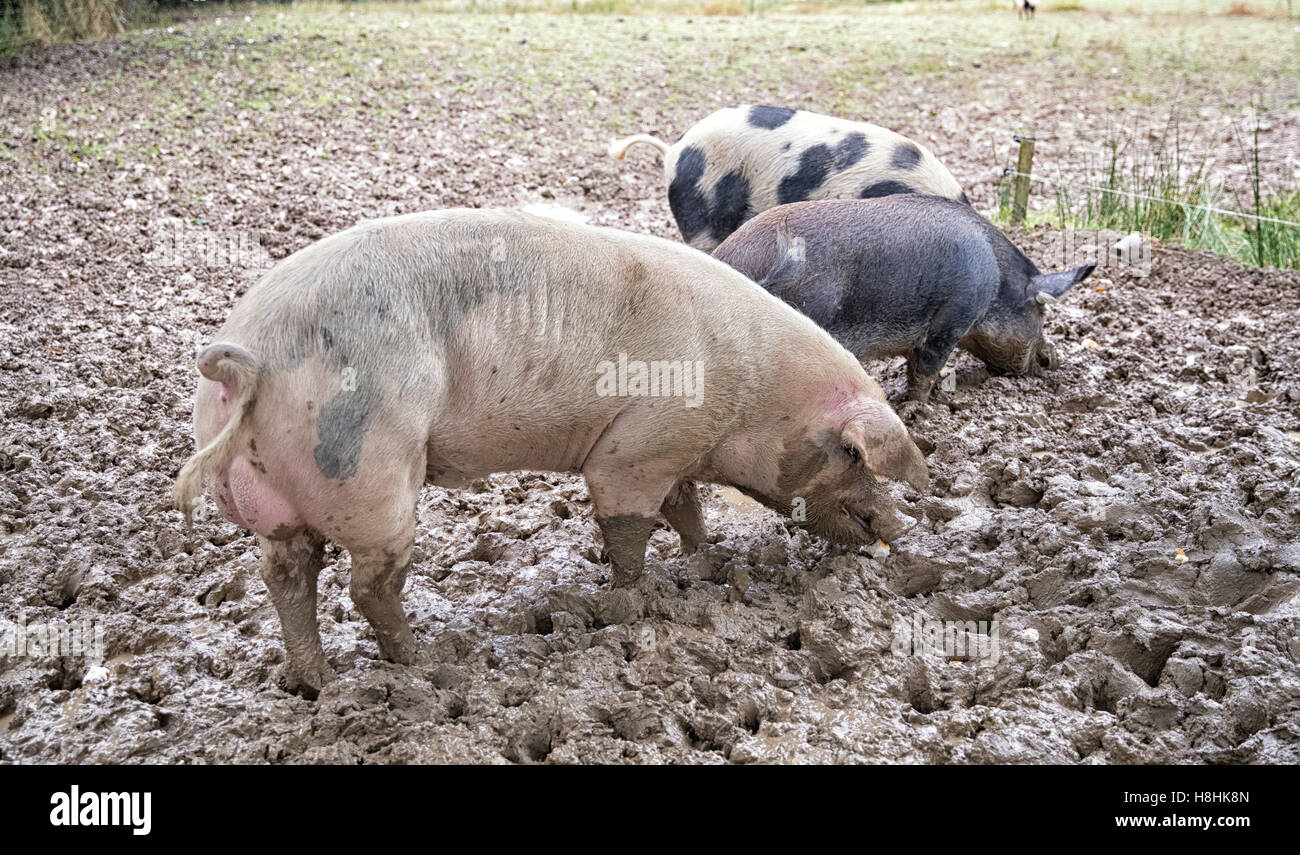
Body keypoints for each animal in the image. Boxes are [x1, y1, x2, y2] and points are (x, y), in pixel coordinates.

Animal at [173, 209, 929, 696]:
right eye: (853, 456)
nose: (903, 525)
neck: (751, 391)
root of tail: (246, 361)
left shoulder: (670, 448)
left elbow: (684, 509)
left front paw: (702, 561)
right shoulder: (632, 450)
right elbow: (628, 529)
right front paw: (631, 601)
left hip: (284, 500)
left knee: (285, 574)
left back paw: (311, 682)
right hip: (371, 472)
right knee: (368, 585)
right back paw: (420, 661)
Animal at [712, 195, 1096, 403]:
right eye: (1040, 312)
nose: (1052, 360)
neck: (997, 286)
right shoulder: (952, 317)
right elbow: (926, 369)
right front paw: (920, 408)